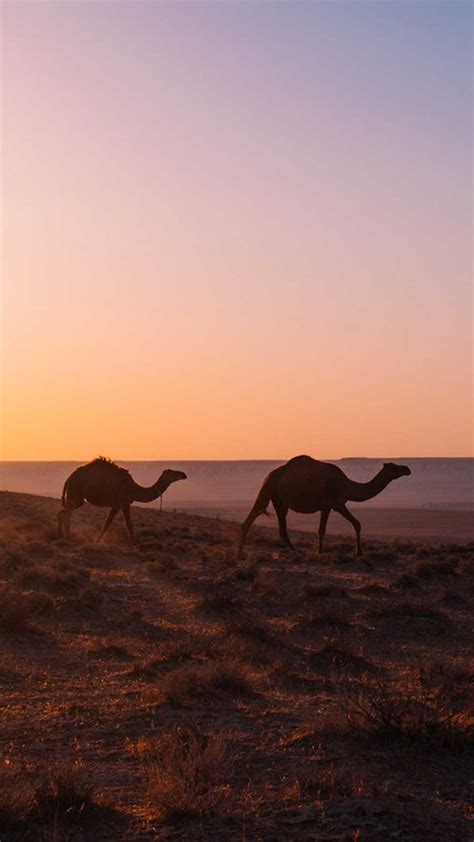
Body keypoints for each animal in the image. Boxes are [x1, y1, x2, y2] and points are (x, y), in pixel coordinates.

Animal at [58, 457, 187, 544]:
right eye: (172, 473)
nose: (184, 474)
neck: (134, 489)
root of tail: (69, 478)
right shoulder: (123, 502)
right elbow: (128, 524)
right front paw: (135, 545)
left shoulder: (117, 505)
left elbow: (108, 524)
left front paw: (97, 541)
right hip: (74, 491)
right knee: (67, 513)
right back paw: (68, 538)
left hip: (79, 498)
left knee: (63, 512)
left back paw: (62, 535)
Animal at [238, 455, 411, 557]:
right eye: (394, 467)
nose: (407, 469)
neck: (347, 485)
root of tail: (269, 475)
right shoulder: (327, 504)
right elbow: (321, 530)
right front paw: (320, 551)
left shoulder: (339, 504)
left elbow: (357, 523)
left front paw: (359, 552)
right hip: (269, 490)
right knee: (256, 513)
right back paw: (240, 552)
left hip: (281, 500)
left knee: (280, 525)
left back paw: (293, 550)